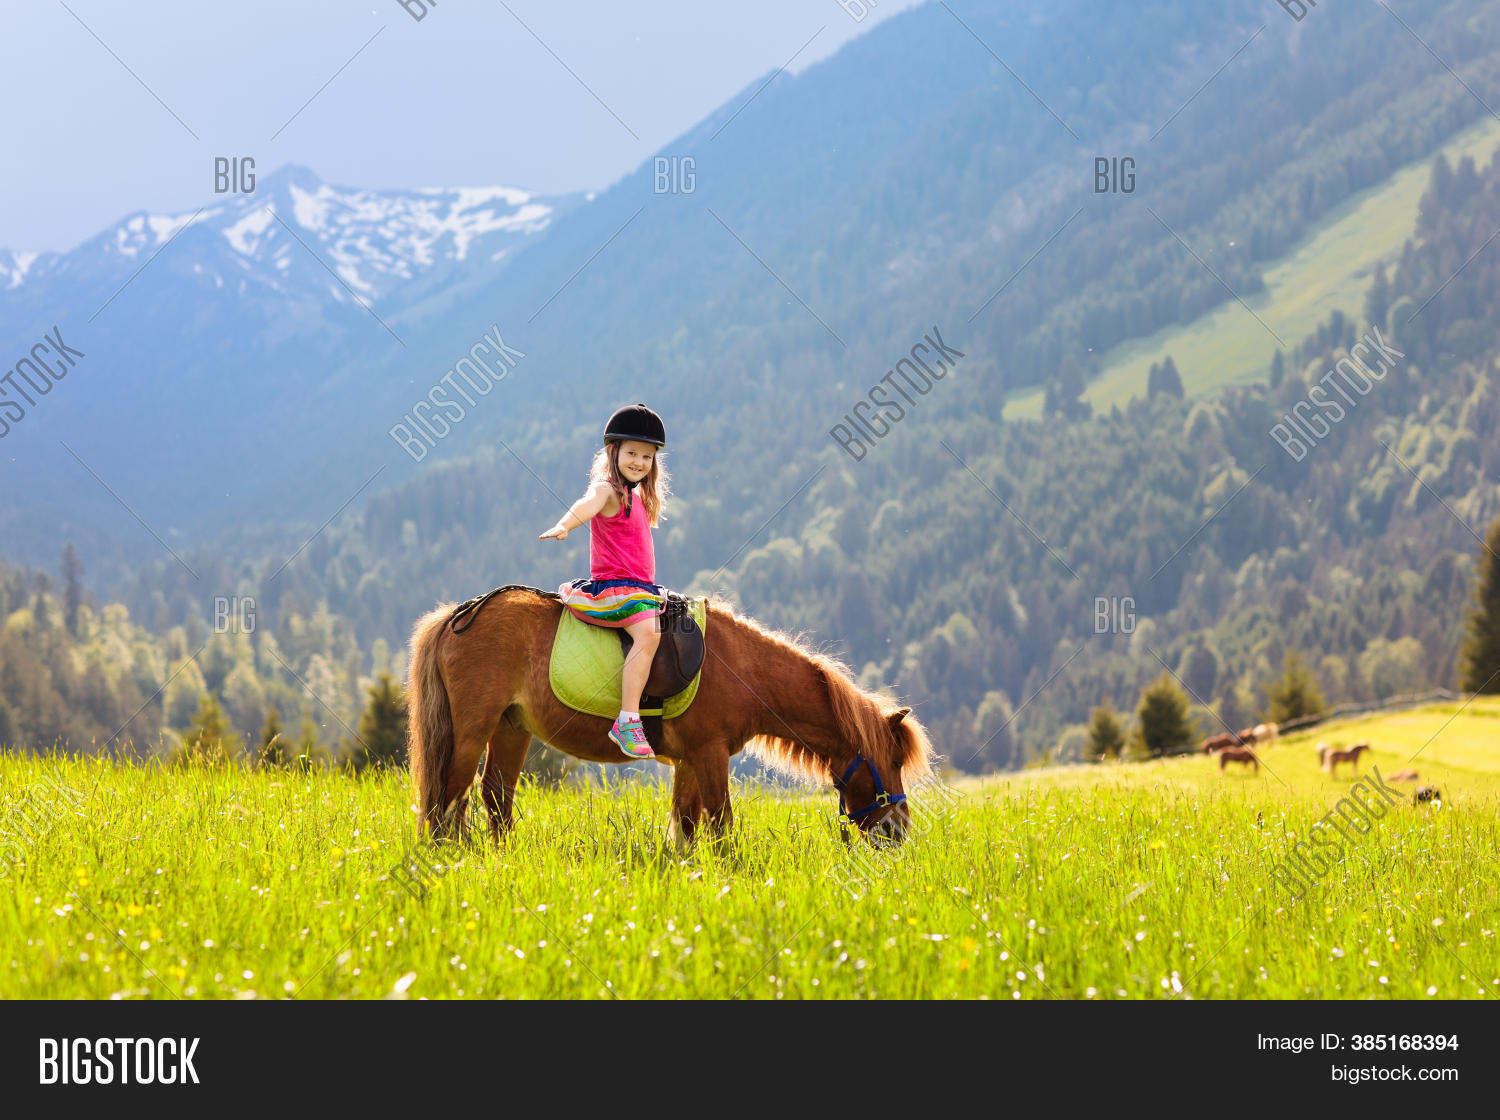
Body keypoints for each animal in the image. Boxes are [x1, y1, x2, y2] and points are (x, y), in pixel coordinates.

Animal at [405, 588, 934, 848]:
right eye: (890, 761)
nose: (898, 832)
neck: (738, 667)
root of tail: (459, 615)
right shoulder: (710, 755)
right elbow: (720, 825)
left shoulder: (688, 763)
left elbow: (686, 827)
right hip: (472, 730)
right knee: (449, 801)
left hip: (512, 729)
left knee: (495, 798)